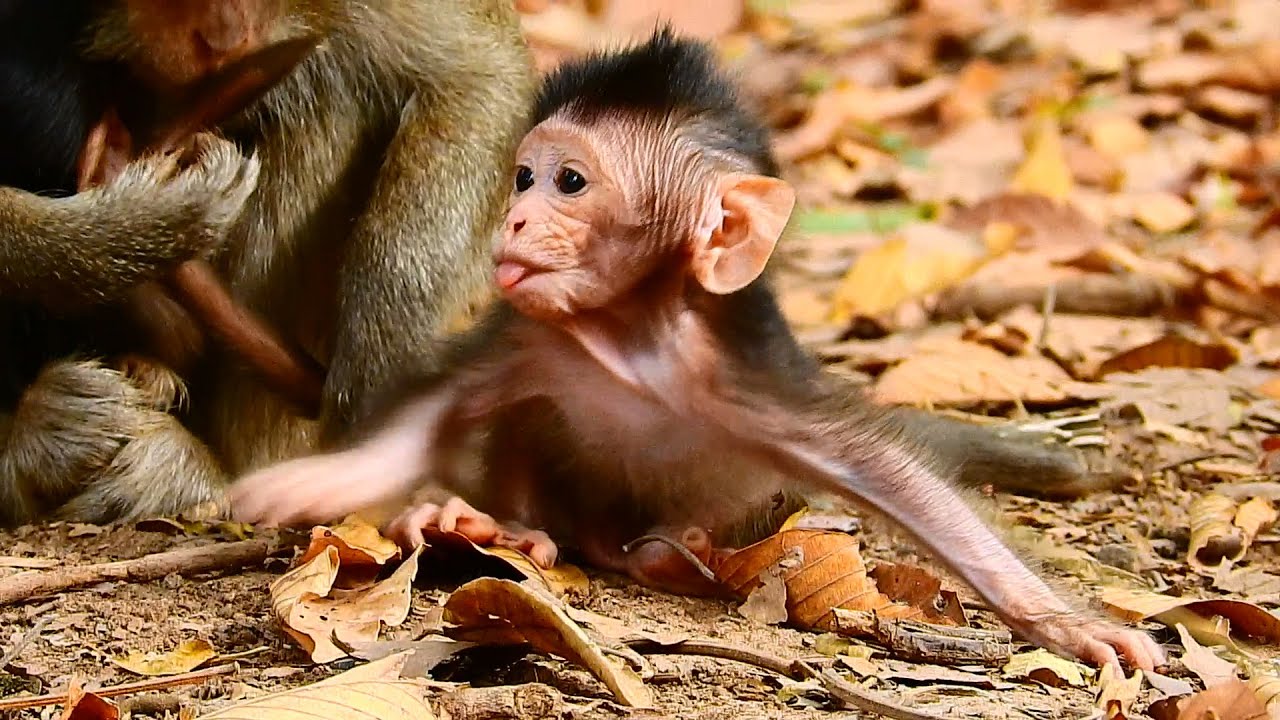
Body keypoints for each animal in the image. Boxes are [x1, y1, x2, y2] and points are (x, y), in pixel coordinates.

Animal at [228, 30, 1165, 673]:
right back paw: (497, 528)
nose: (516, 219)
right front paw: (326, 481)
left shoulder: (752, 384)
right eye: (523, 177)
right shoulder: (533, 340)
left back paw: (661, 553)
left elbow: (897, 482)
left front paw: (1065, 622)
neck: (635, 344)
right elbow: (432, 411)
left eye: (569, 182)